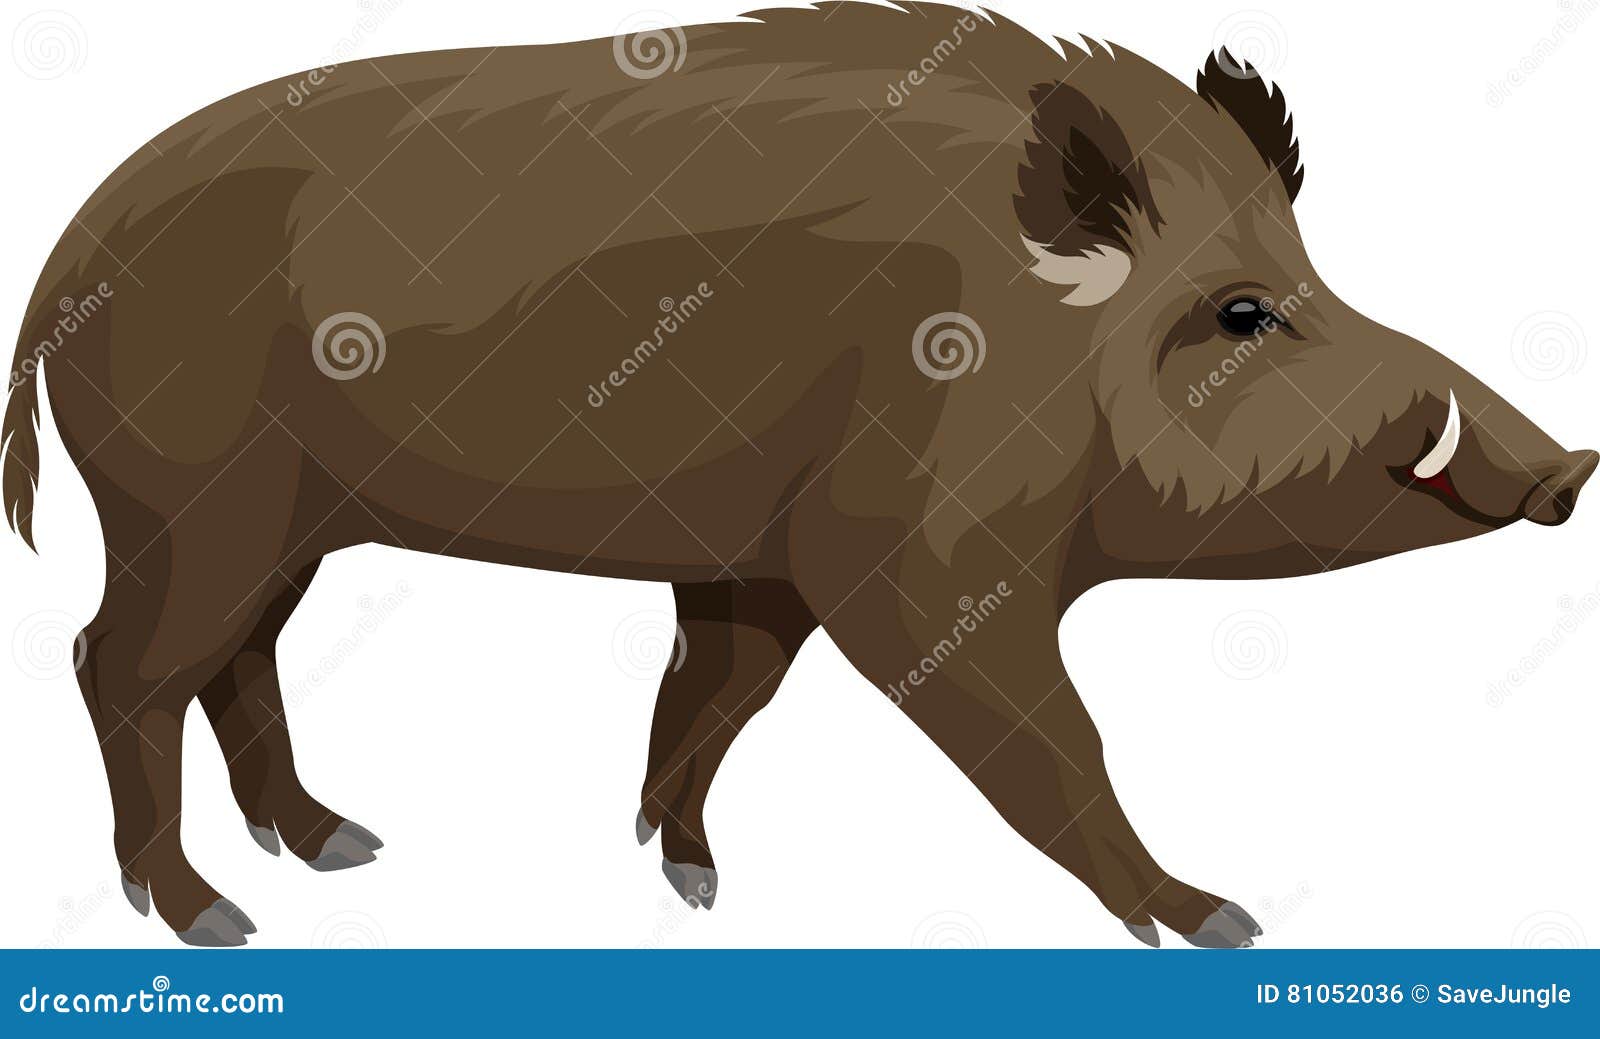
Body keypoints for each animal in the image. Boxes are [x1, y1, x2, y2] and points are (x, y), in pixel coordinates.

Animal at [5, 2, 1593, 948]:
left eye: (1313, 278)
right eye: (1244, 312)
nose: (1570, 459)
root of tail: (64, 252)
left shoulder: (759, 562)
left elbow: (715, 697)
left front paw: (690, 879)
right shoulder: (910, 557)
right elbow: (1058, 738)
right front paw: (1219, 922)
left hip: (287, 523)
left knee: (235, 659)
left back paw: (345, 848)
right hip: (186, 499)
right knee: (112, 660)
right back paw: (214, 919)